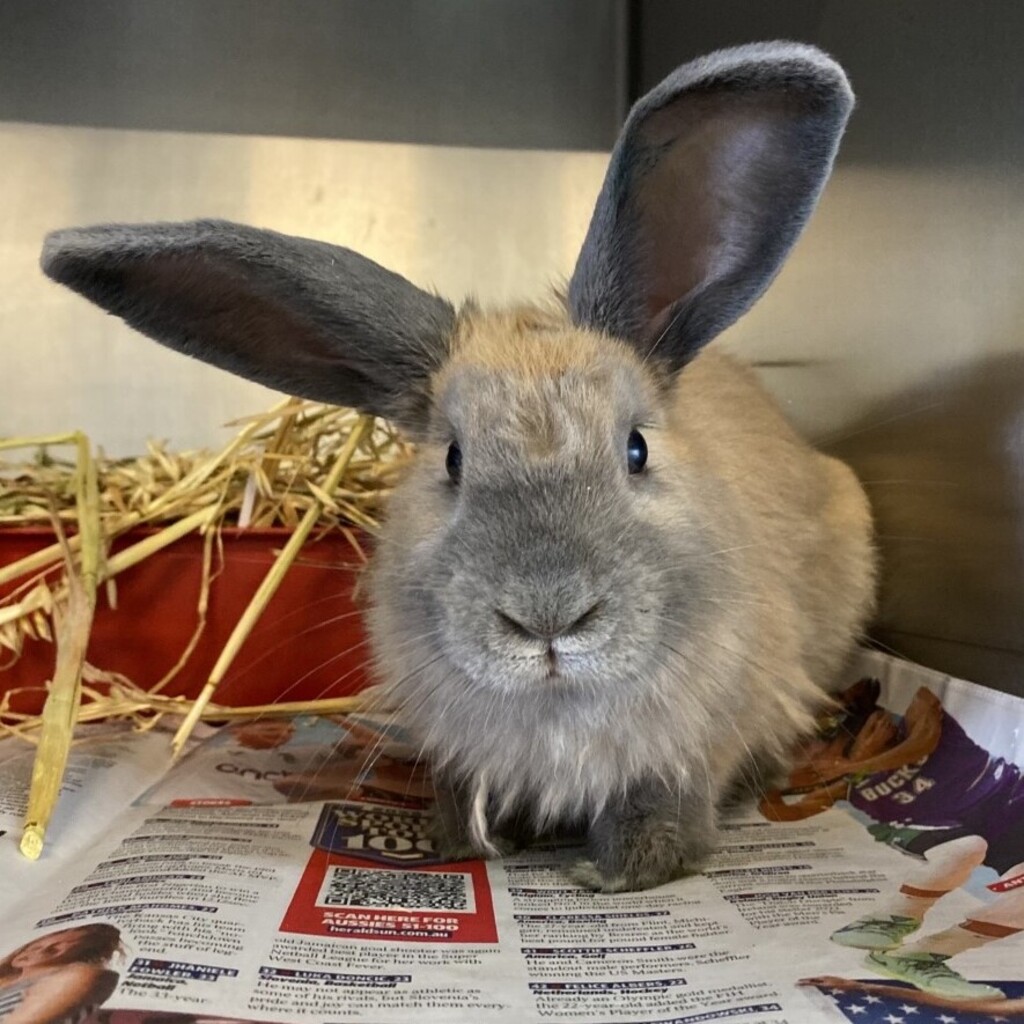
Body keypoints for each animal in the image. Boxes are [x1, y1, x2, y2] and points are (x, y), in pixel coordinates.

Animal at [40, 41, 875, 891]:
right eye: (452, 459)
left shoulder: (696, 745)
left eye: (636, 449)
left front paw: (614, 873)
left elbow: (661, 812)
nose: (547, 618)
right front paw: (464, 842)